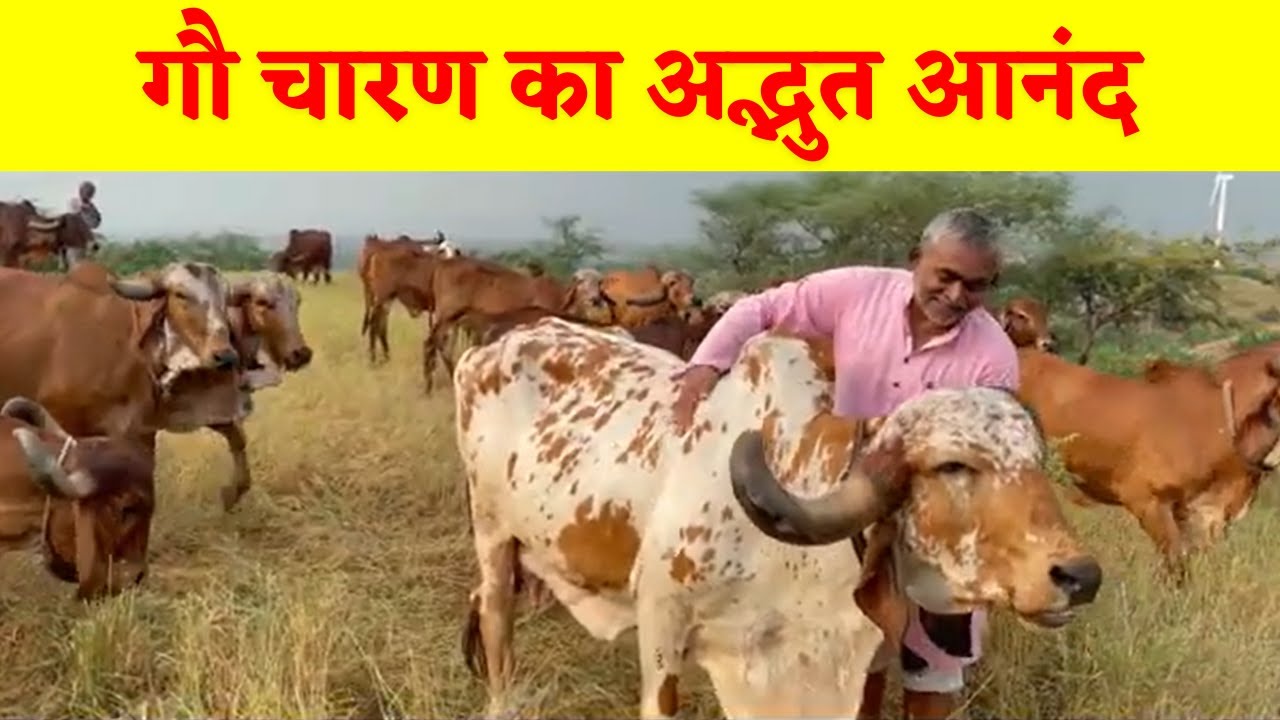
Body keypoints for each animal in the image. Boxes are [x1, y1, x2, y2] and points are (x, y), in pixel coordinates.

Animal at [454, 318, 1102, 719]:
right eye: (952, 466)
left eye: (1036, 461)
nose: (1079, 576)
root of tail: (493, 344)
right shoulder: (661, 620)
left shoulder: (857, 657)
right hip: (490, 535)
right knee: (495, 619)